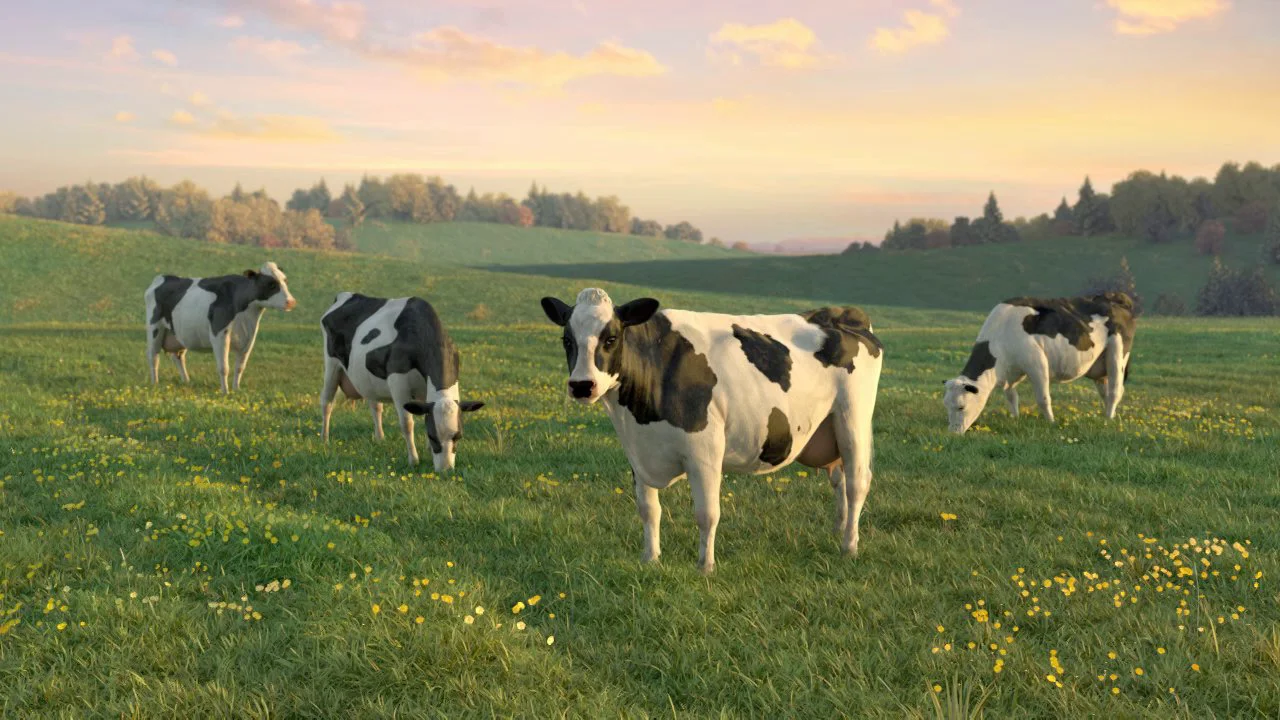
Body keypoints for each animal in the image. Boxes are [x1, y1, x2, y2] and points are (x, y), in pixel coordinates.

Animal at [145, 262, 296, 393]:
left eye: (285, 281)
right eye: (271, 284)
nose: (291, 302)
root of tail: (163, 277)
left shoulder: (249, 337)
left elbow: (240, 367)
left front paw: (236, 389)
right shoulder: (219, 335)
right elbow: (224, 368)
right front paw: (225, 392)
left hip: (178, 334)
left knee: (178, 357)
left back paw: (186, 381)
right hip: (155, 328)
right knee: (153, 357)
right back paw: (155, 383)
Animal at [320, 293, 484, 472]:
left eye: (458, 436)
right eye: (432, 436)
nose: (445, 470)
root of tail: (346, 295)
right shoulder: (398, 383)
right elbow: (407, 423)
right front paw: (414, 460)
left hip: (369, 381)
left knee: (375, 406)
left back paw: (380, 438)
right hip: (331, 366)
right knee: (327, 402)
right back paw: (325, 439)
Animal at [540, 288, 883, 573]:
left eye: (610, 338)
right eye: (567, 340)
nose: (582, 385)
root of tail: (845, 312)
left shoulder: (704, 450)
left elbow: (707, 513)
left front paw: (705, 566)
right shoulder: (638, 454)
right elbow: (649, 509)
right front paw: (650, 559)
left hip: (852, 416)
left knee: (857, 482)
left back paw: (849, 546)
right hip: (829, 430)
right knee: (839, 479)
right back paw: (839, 530)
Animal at [943, 292, 1136, 434]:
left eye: (961, 407)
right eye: (946, 405)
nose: (953, 433)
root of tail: (1116, 297)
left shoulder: (1036, 363)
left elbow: (1043, 398)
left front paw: (1051, 422)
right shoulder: (1011, 372)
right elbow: (1011, 396)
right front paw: (1015, 419)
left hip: (1117, 353)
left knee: (1115, 391)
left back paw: (1108, 419)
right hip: (1100, 367)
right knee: (1106, 392)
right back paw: (1106, 415)